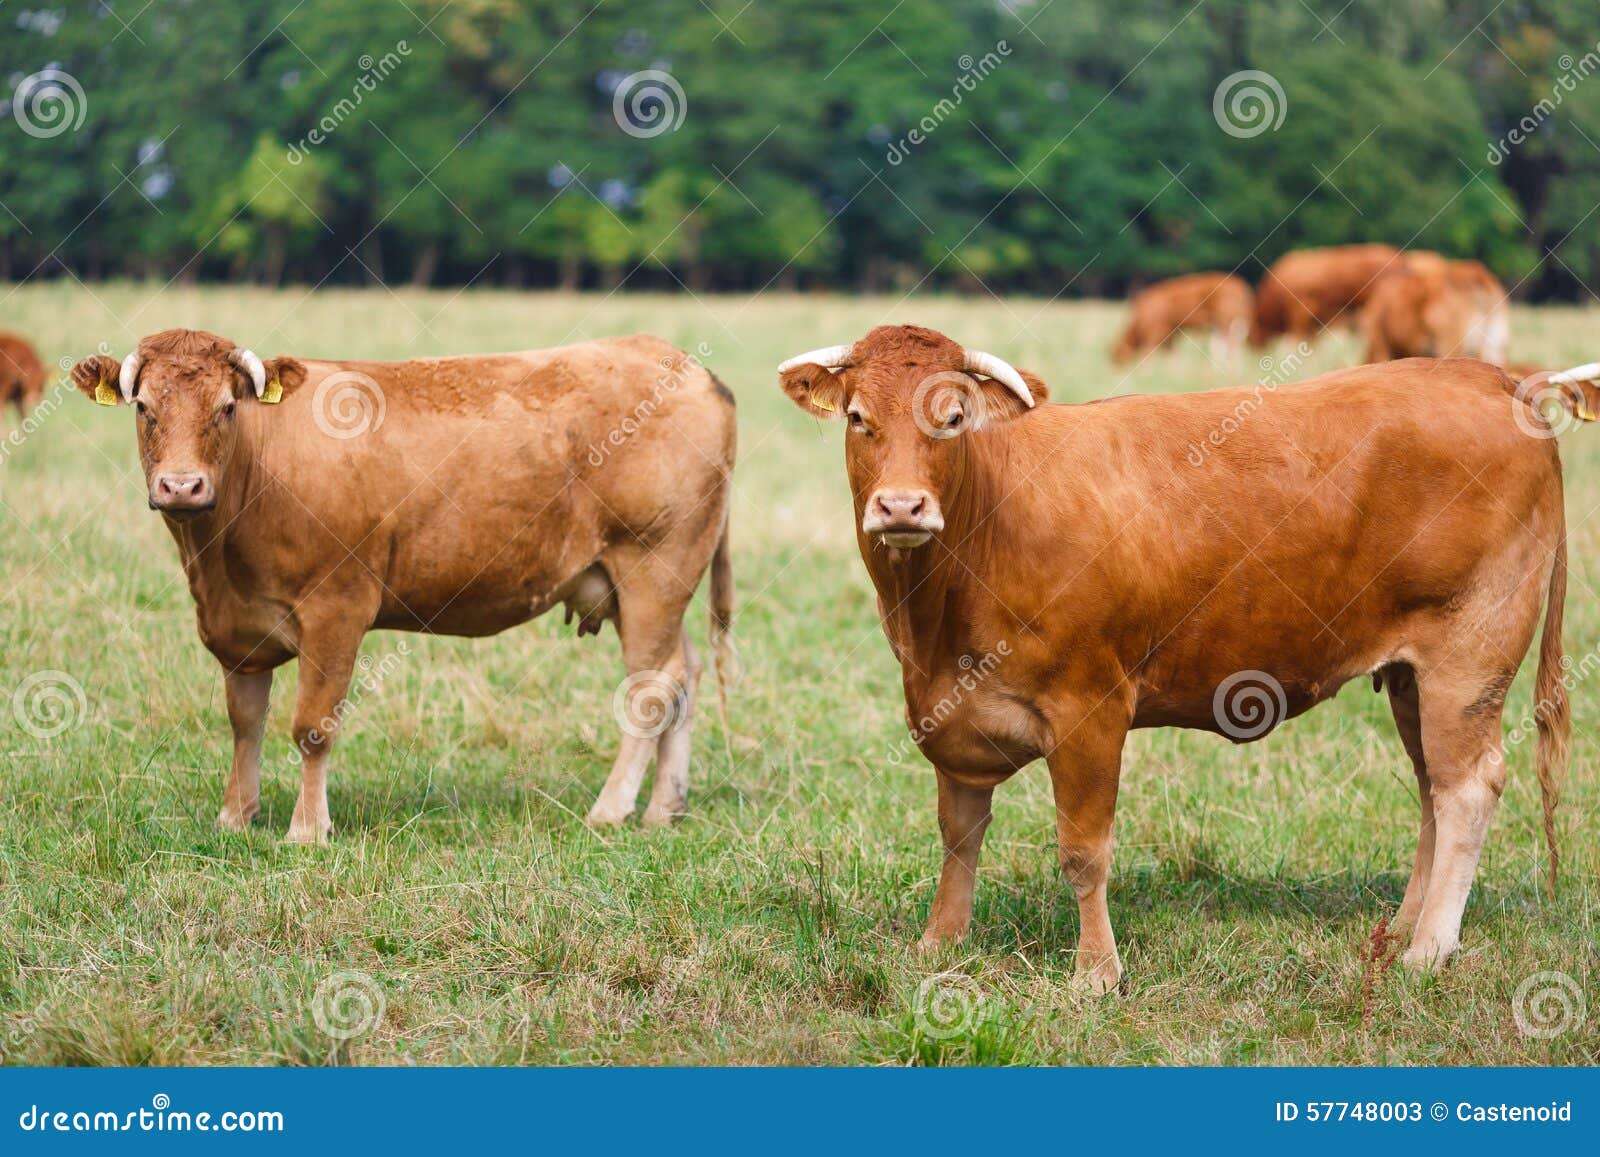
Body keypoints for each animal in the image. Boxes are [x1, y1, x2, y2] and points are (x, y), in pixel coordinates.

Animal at [72, 328, 736, 843]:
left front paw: (307, 830)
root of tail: (686, 365)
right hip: (637, 584)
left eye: (227, 408)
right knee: (685, 673)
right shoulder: (238, 630)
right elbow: (245, 722)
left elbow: (312, 726)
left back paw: (611, 810)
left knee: (651, 689)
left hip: (655, 566)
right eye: (143, 407)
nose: (182, 487)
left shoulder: (336, 610)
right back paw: (664, 808)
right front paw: (236, 817)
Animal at [778, 324, 1570, 992]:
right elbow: (958, 836)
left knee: (1468, 788)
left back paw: (1428, 950)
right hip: (1412, 675)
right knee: (1434, 786)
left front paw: (1096, 973)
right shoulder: (949, 712)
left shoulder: (1090, 709)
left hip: (1468, 658)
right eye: (858, 418)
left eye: (952, 419)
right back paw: (1405, 927)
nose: (902, 507)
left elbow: (1083, 851)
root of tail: (1488, 378)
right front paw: (939, 942)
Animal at [1110, 273, 1253, 365]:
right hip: (1226, 322)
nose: (1115, 370)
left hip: (1225, 319)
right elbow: (1174, 354)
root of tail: (1238, 285)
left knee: (1230, 343)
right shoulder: (1170, 332)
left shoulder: (1156, 330)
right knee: (1222, 343)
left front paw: (1145, 373)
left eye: (1119, 356)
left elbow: (1148, 352)